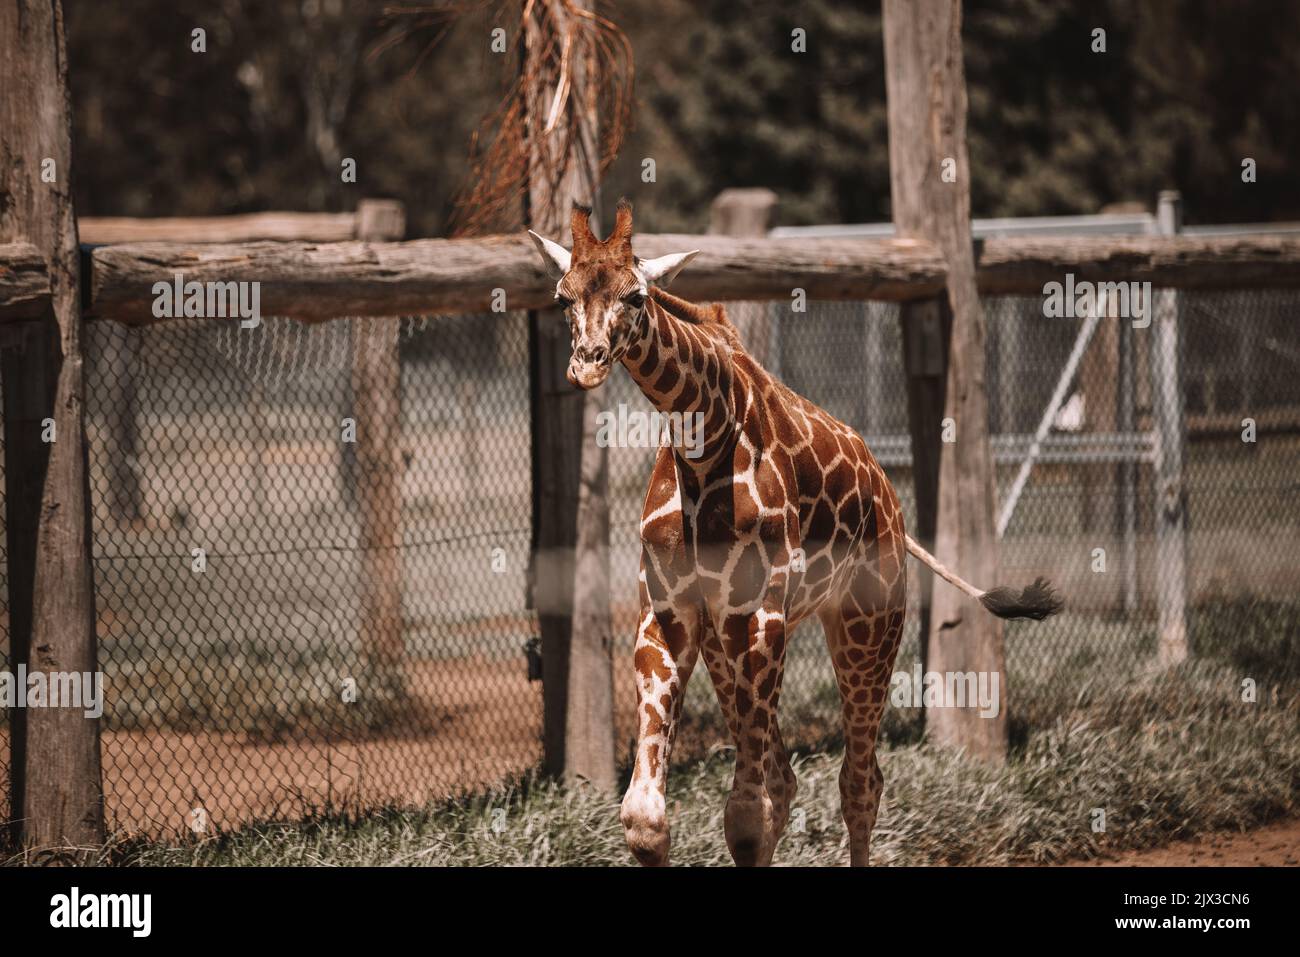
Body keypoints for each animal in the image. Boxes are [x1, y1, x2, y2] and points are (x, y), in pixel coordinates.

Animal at [528, 200, 1062, 867]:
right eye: (562, 295)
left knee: (859, 780)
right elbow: (646, 818)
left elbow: (746, 819)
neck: (704, 433)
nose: (586, 363)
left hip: (866, 626)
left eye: (635, 295)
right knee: (787, 779)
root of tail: (892, 503)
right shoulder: (670, 613)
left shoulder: (760, 615)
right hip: (727, 641)